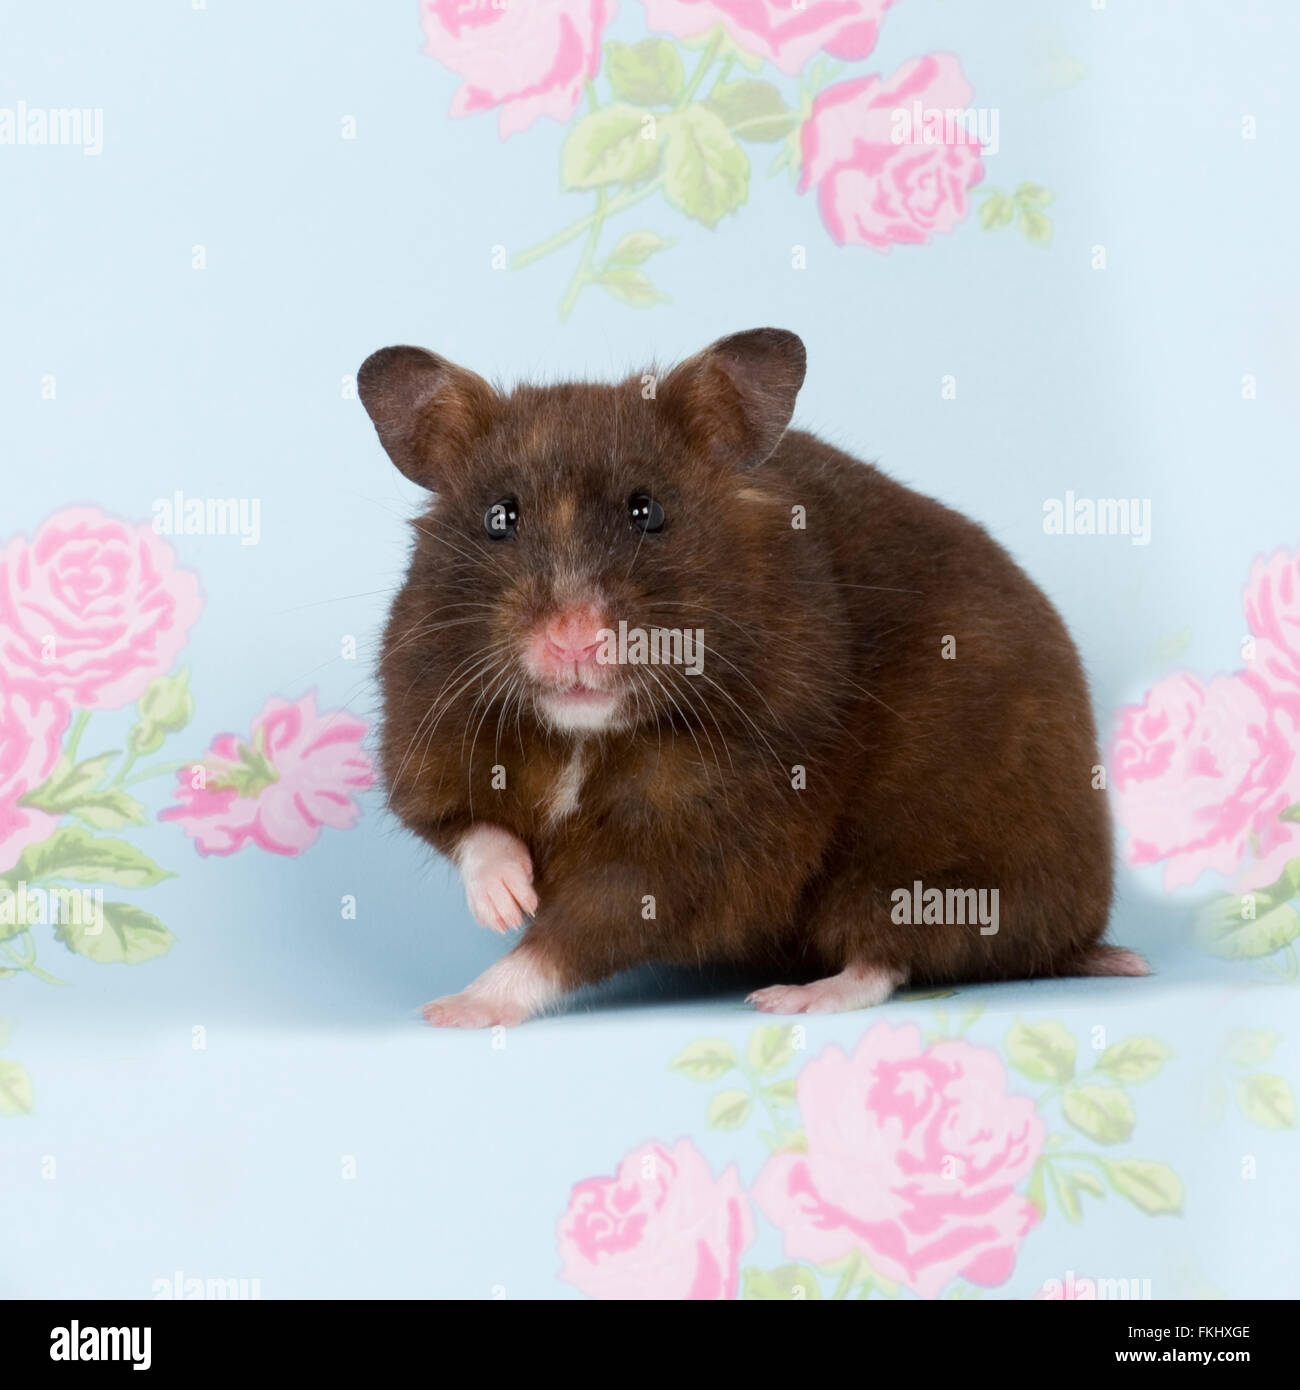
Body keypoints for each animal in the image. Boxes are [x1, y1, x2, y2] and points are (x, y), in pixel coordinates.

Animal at [358, 328, 1145, 1028]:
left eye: (648, 511)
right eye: (500, 516)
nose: (572, 638)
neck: (586, 734)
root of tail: (1078, 934)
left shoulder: (703, 834)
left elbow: (579, 931)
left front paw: (457, 1009)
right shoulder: (429, 725)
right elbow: (465, 826)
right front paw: (506, 901)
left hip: (926, 861)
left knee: (886, 954)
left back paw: (791, 997)